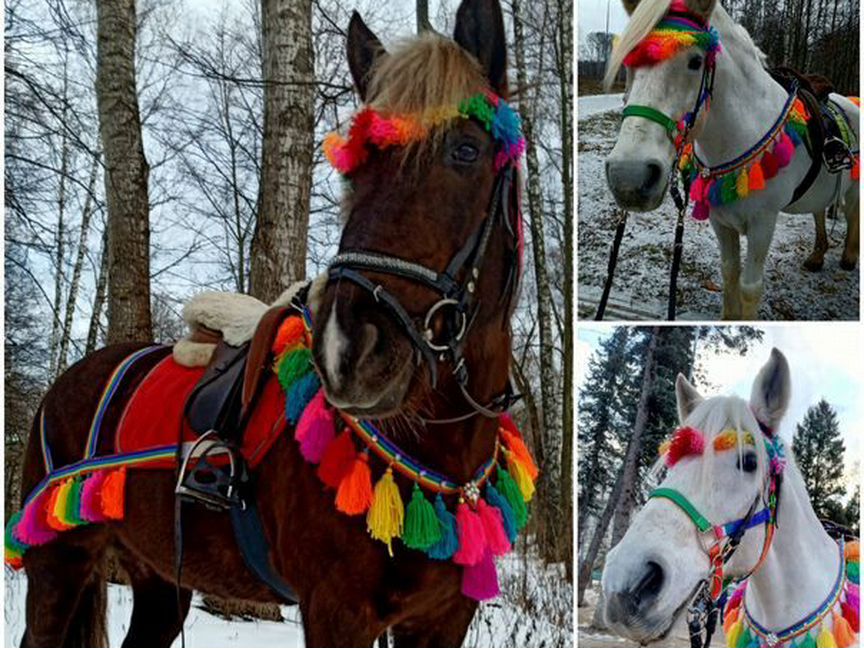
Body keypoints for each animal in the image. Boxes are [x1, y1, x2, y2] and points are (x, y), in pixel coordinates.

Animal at [15, 1, 528, 648]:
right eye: (353, 171)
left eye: (466, 150)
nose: (347, 350)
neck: (440, 450)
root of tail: (67, 379)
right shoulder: (336, 610)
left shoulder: (442, 619)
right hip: (58, 563)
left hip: (158, 581)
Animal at [604, 0, 860, 318]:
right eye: (628, 64)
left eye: (695, 61)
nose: (629, 176)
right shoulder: (720, 221)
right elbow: (729, 272)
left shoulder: (763, 222)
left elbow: (750, 288)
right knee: (819, 212)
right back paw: (817, 255)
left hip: (854, 187)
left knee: (853, 213)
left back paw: (849, 257)